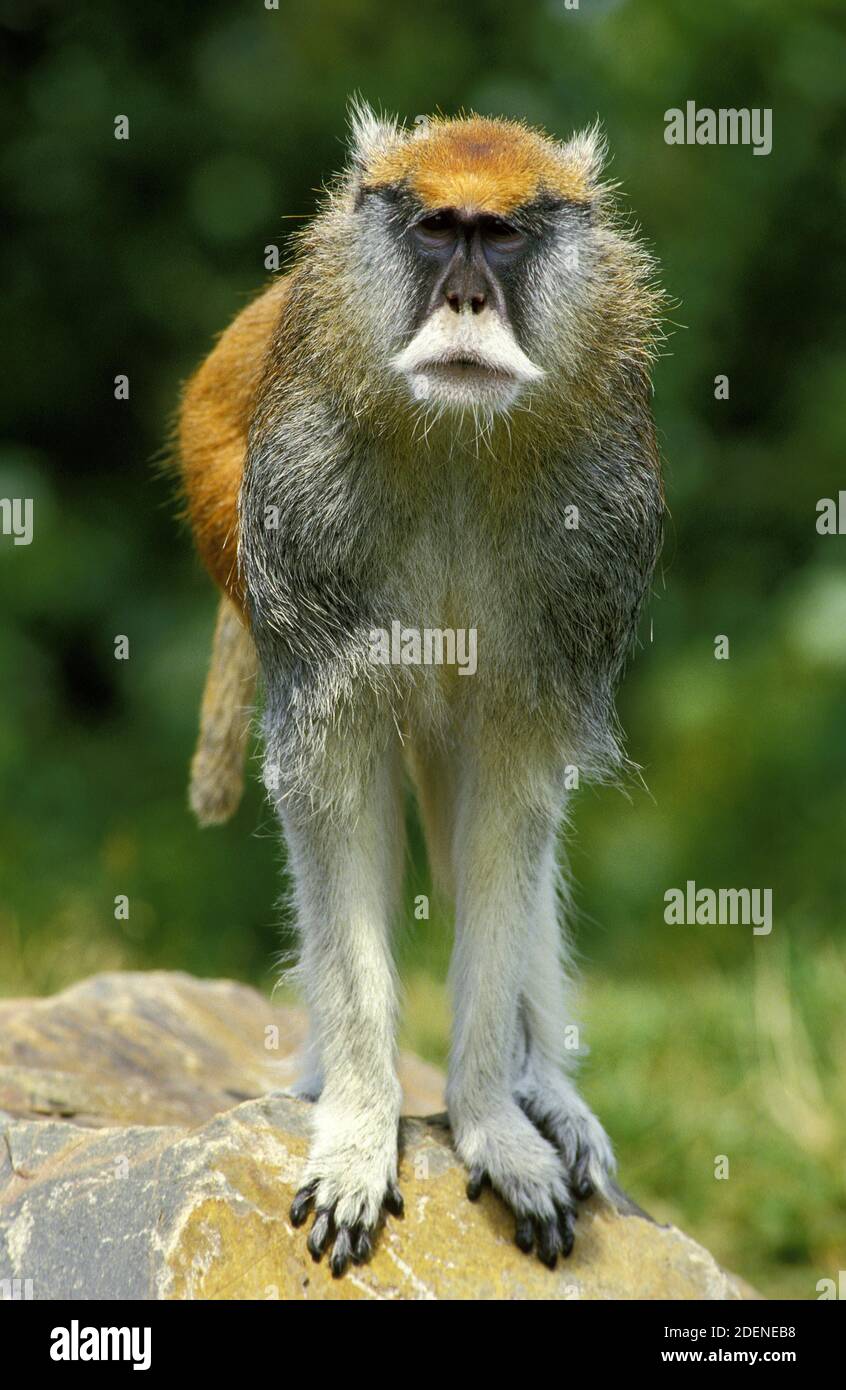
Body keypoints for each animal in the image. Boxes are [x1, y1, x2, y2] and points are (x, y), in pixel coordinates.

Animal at [177, 100, 665, 1277]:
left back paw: (545, 1091)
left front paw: (496, 1116)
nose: (467, 299)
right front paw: (359, 1126)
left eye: (505, 237)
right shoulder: (306, 534)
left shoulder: (594, 549)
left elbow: (509, 813)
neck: (456, 445)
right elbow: (335, 799)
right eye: (439, 230)